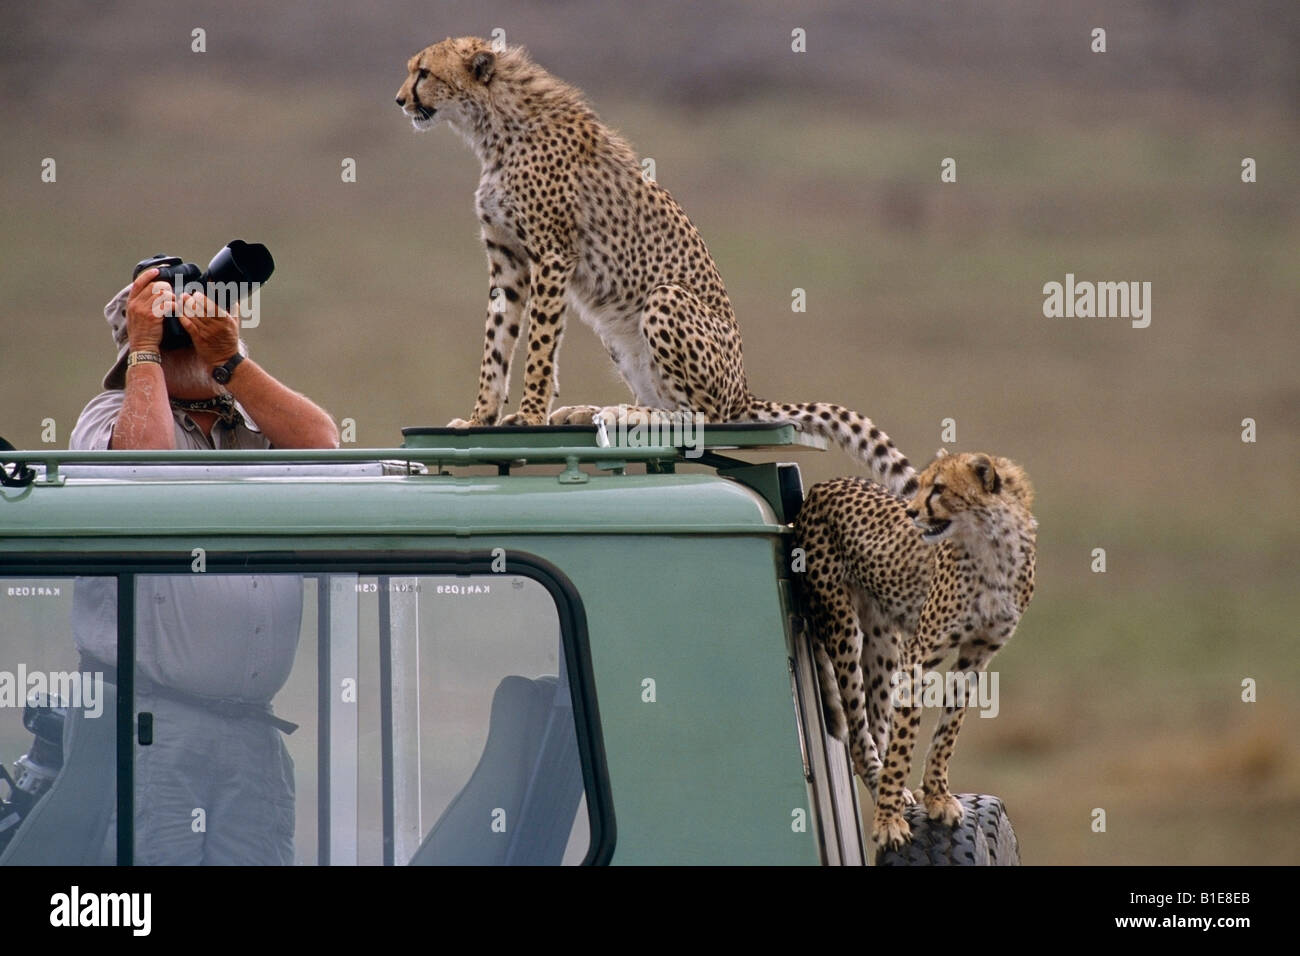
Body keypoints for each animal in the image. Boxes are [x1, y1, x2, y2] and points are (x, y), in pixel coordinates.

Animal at [395, 36, 918, 496]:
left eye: (424, 73)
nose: (399, 100)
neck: (491, 124)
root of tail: (744, 393)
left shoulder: (552, 255)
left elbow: (539, 349)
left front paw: (528, 416)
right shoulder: (508, 263)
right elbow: (496, 345)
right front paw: (479, 418)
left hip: (664, 299)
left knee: (701, 418)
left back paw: (627, 415)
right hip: (617, 334)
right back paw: (594, 411)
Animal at [794, 450, 1037, 849]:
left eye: (938, 489)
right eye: (920, 485)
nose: (911, 512)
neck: (993, 546)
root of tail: (822, 485)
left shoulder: (977, 654)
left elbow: (948, 730)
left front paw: (936, 795)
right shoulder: (919, 656)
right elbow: (904, 741)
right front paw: (889, 820)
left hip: (883, 644)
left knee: (877, 723)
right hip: (845, 628)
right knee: (859, 732)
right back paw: (879, 783)